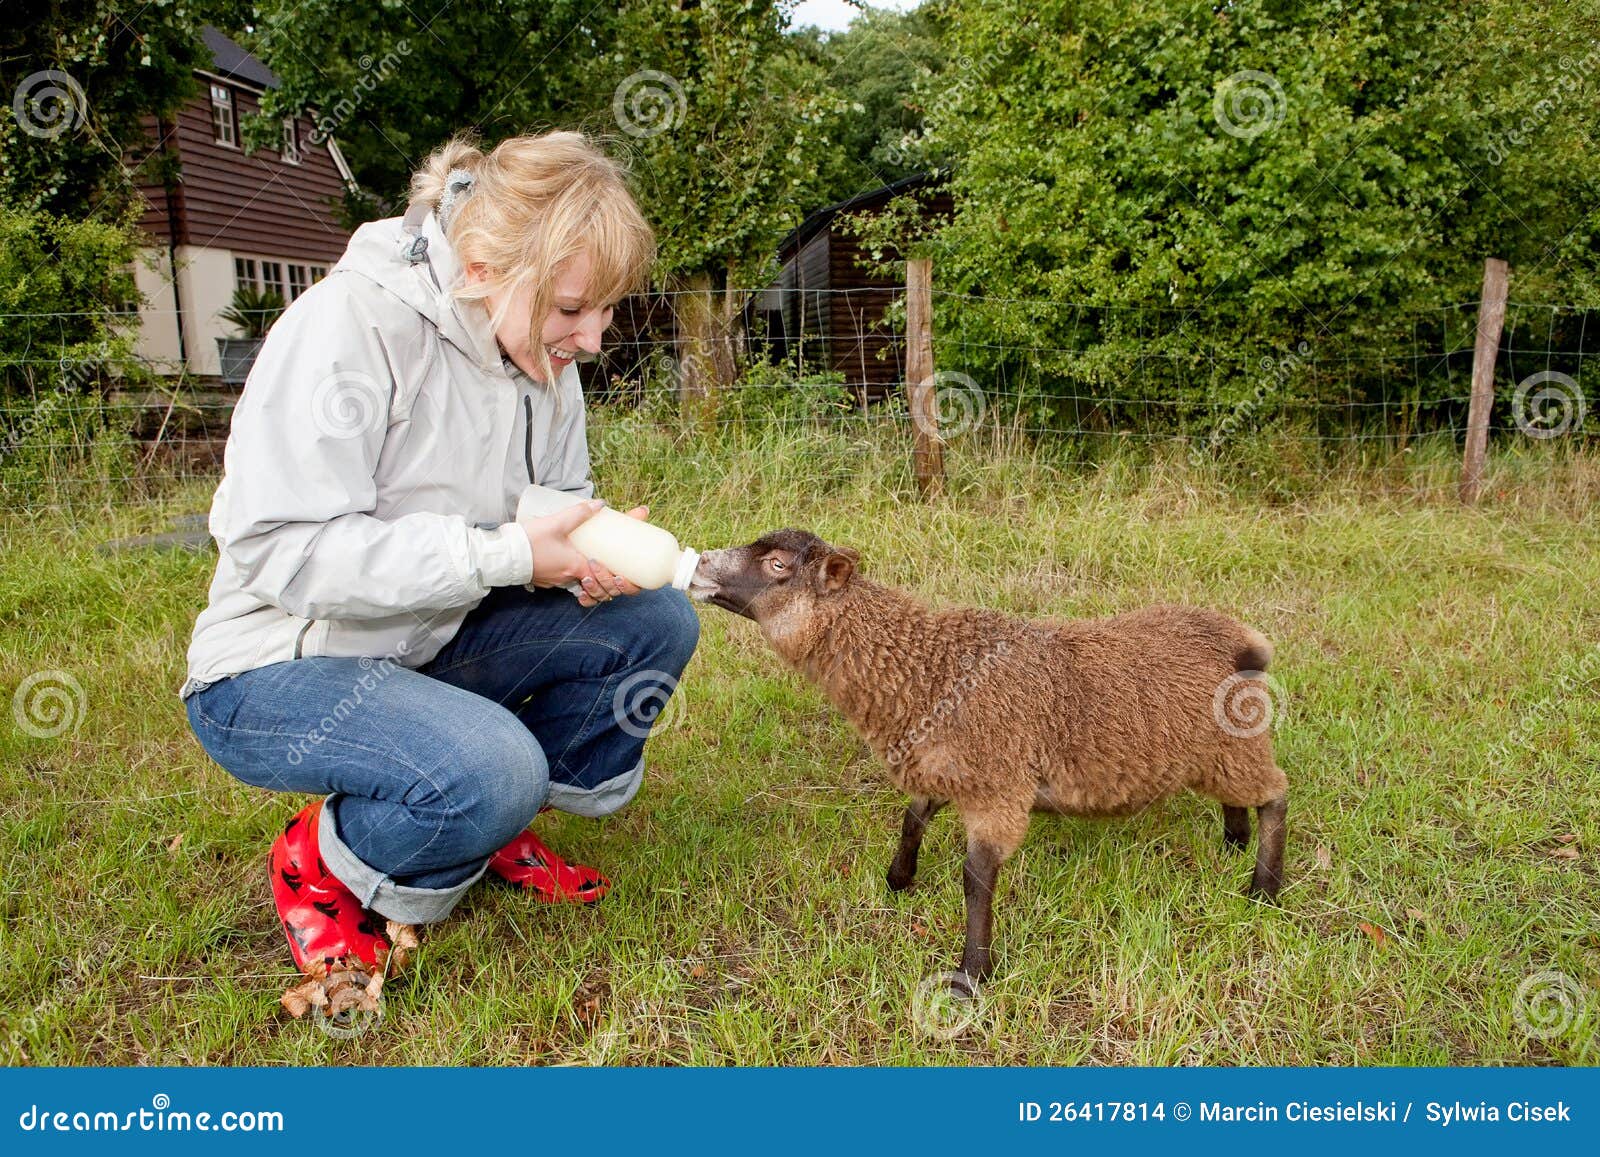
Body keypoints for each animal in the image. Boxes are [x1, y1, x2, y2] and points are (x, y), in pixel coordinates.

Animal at [689, 529, 1288, 984]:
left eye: (776, 564)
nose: (698, 566)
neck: (929, 672)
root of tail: (1246, 644)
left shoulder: (998, 789)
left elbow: (976, 878)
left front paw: (971, 974)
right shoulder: (944, 769)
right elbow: (913, 819)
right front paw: (898, 880)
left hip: (1237, 746)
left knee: (1276, 795)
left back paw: (1263, 890)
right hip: (1217, 754)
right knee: (1240, 797)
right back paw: (1233, 842)